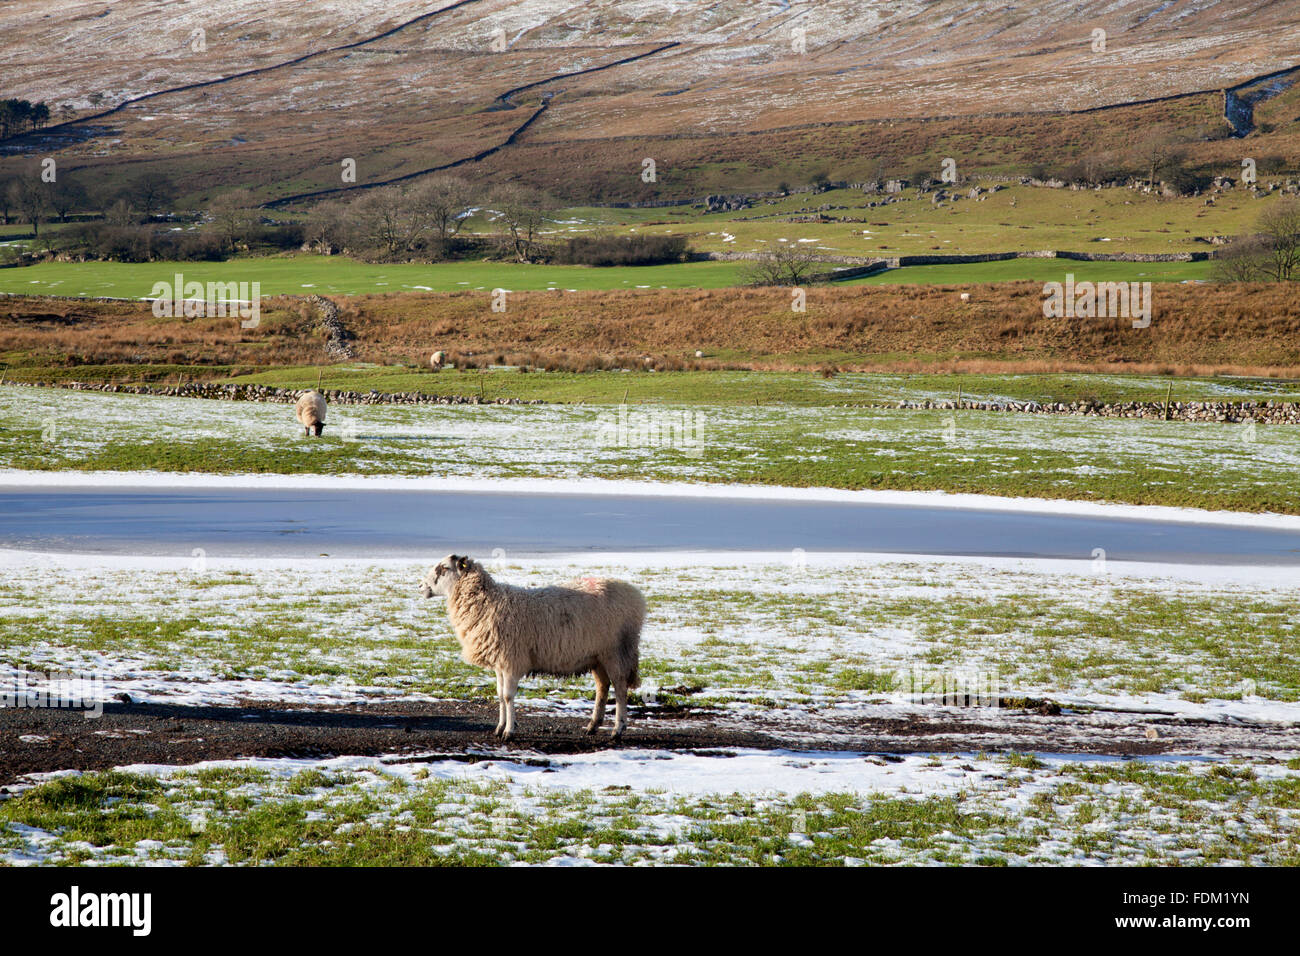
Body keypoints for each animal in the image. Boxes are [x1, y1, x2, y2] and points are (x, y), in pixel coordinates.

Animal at [420, 555, 645, 741]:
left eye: (444, 568)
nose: (420, 586)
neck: (487, 602)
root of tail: (635, 594)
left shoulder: (511, 660)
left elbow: (508, 696)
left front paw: (509, 731)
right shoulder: (500, 663)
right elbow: (500, 695)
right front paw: (499, 728)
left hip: (616, 651)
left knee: (620, 688)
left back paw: (618, 729)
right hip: (597, 657)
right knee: (603, 687)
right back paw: (592, 726)